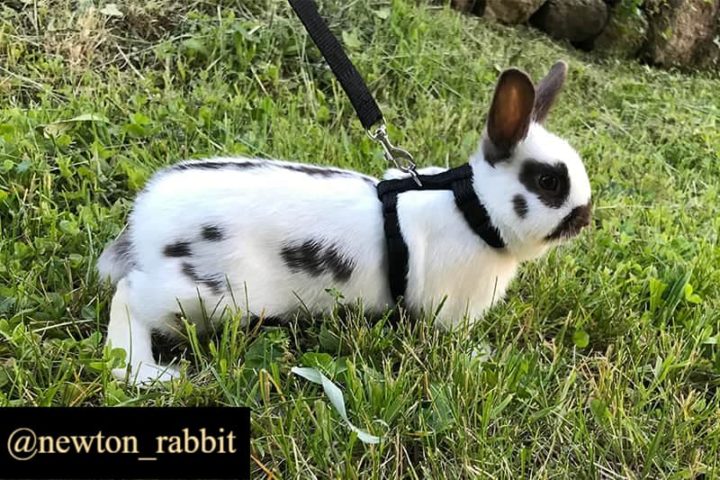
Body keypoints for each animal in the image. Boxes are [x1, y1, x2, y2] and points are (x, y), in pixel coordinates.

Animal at [98, 61, 592, 384]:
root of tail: (145, 219)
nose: (585, 217)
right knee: (128, 296)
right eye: (548, 181)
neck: (474, 213)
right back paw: (145, 373)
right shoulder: (452, 312)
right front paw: (479, 356)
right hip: (204, 294)